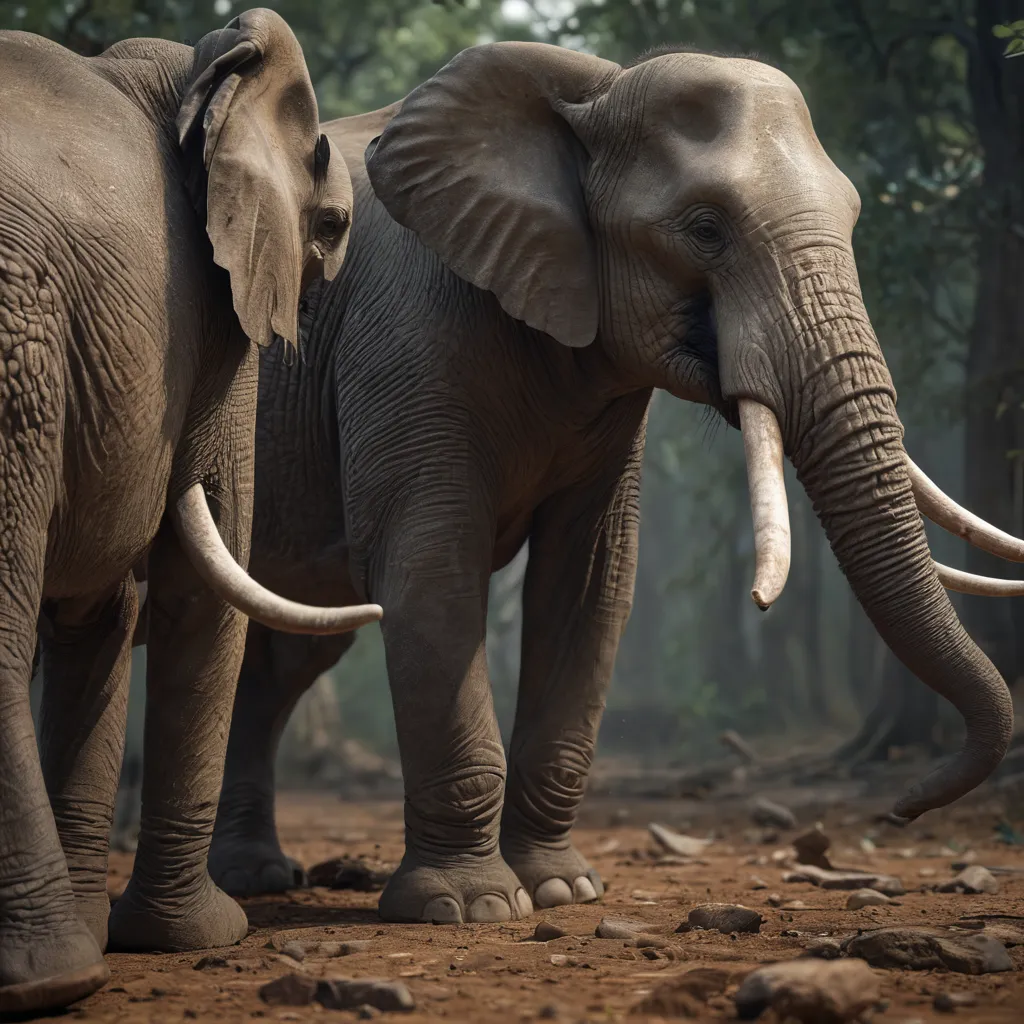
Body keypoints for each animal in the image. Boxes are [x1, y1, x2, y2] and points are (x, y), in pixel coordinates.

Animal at [0, 8, 381, 1014]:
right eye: (329, 224)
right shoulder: (202, 315)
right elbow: (187, 597)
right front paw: (197, 936)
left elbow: (104, 612)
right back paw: (54, 978)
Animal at [206, 42, 1020, 924]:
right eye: (706, 230)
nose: (900, 810)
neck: (596, 88)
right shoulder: (405, 336)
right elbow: (430, 566)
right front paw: (471, 909)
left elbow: (591, 579)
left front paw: (562, 891)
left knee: (284, 658)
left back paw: (253, 878)